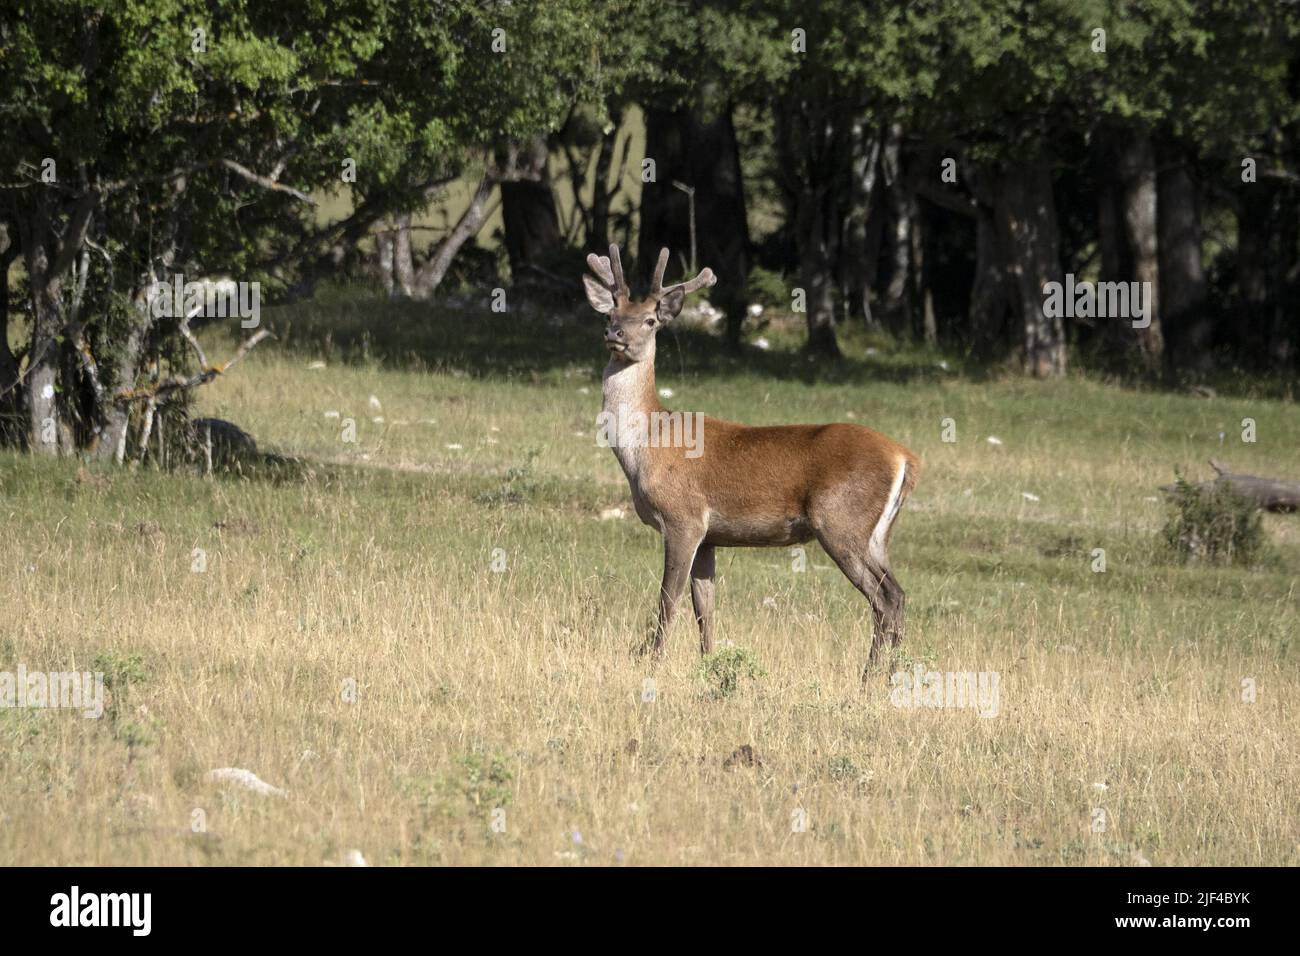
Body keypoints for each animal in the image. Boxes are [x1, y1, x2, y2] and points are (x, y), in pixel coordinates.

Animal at [584, 244, 920, 680]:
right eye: (609, 314)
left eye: (650, 320)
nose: (616, 335)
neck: (647, 447)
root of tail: (905, 458)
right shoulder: (710, 536)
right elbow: (705, 609)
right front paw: (710, 665)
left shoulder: (683, 518)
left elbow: (668, 601)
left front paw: (653, 663)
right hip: (877, 534)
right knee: (897, 595)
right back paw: (889, 673)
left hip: (841, 520)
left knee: (884, 598)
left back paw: (869, 678)